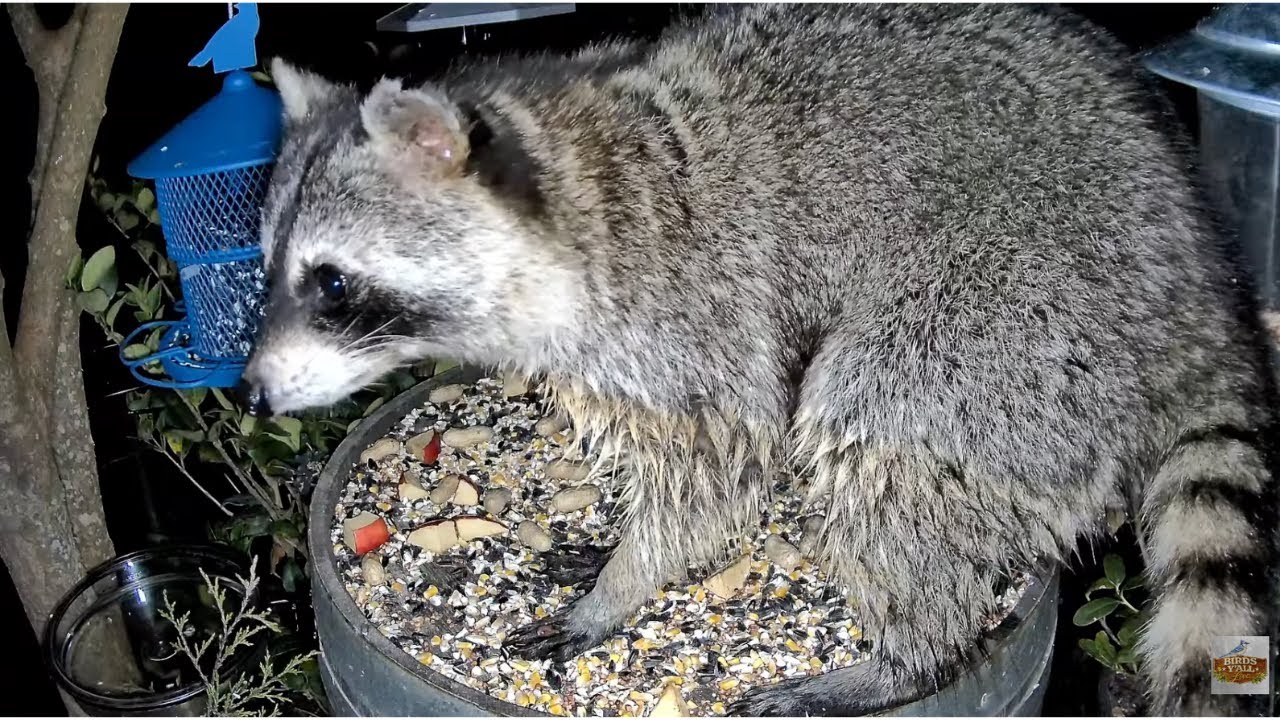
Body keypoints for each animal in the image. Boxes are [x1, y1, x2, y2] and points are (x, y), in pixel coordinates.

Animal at [242, 4, 1280, 716]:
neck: (573, 171)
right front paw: (616, 547)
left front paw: (625, 582)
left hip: (1037, 295)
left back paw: (910, 652)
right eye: (267, 269)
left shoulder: (692, 297)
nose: (252, 393)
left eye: (331, 284)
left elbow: (722, 464)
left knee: (886, 416)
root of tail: (1201, 290)